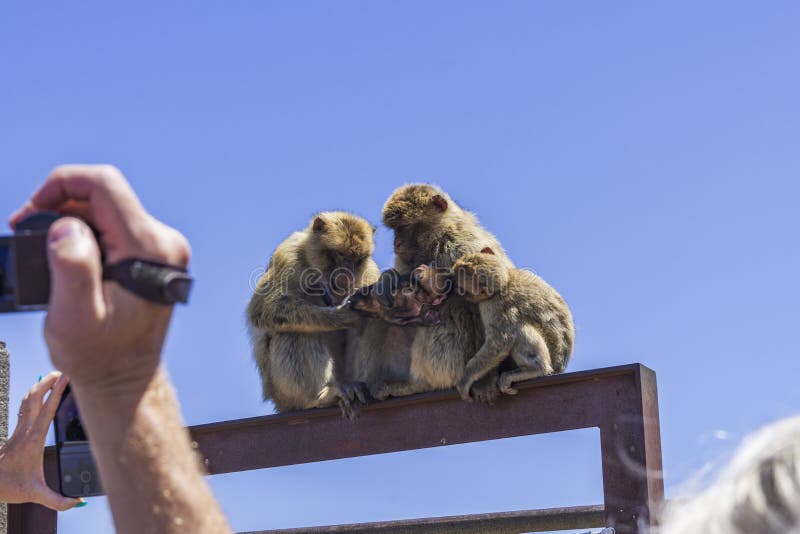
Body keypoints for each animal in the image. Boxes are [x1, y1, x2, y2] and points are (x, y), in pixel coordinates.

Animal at [247, 211, 380, 420]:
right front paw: (339, 317)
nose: (347, 272)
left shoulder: (369, 271)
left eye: (357, 259)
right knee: (295, 333)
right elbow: (264, 308)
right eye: (341, 255)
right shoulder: (288, 255)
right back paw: (320, 396)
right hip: (280, 391)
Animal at [371, 184, 515, 403]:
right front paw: (387, 278)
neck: (440, 236)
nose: (397, 243)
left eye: (404, 227)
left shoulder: (461, 249)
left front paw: (485, 381)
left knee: (453, 307)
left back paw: (422, 384)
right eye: (395, 229)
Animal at [451, 248, 575, 400]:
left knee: (518, 328)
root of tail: (560, 368)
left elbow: (501, 341)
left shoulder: (493, 306)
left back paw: (536, 369)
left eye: (461, 289)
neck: (505, 282)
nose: (455, 289)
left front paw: (465, 378)